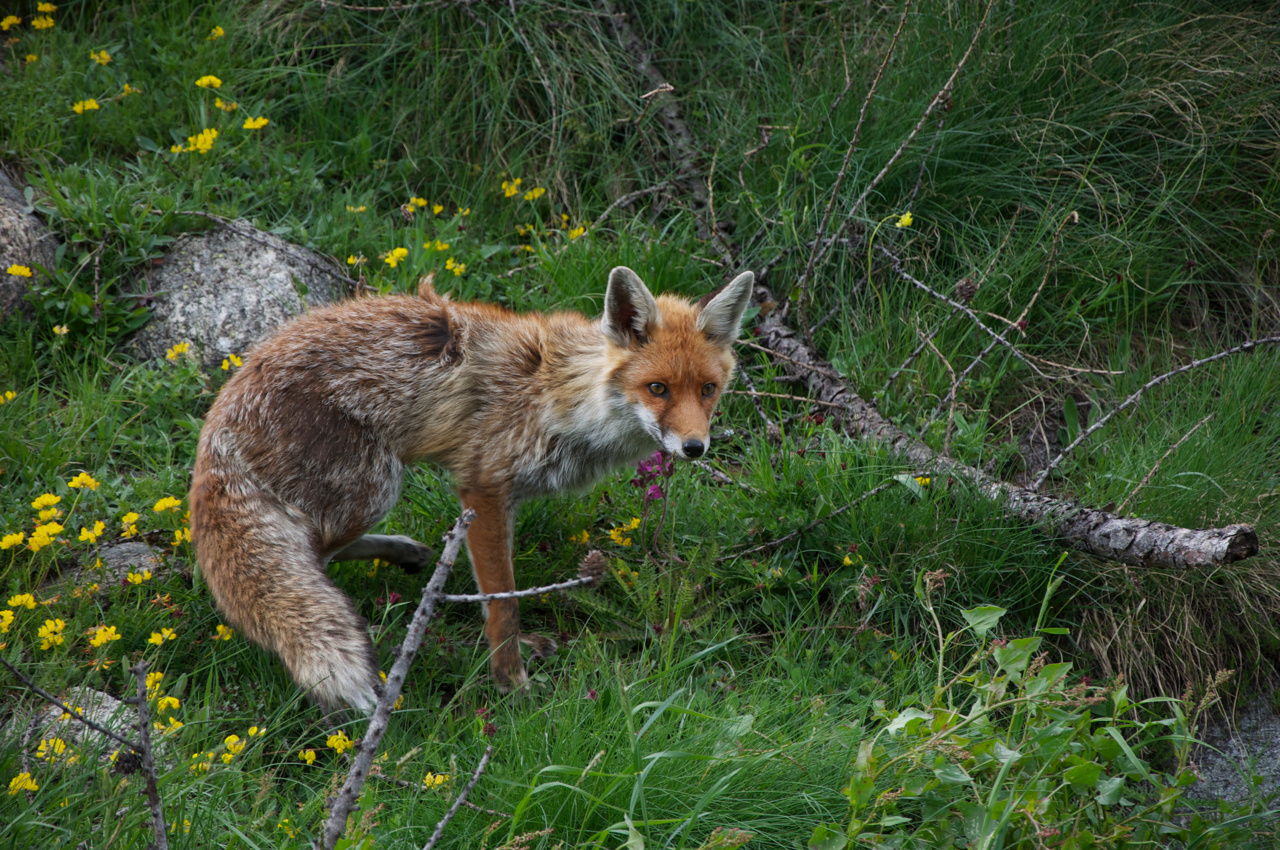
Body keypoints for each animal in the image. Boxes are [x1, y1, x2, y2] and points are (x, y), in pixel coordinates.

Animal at [188, 266, 755, 712]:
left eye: (708, 390)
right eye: (657, 389)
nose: (695, 448)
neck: (560, 398)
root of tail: (221, 413)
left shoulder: (507, 500)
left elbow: (499, 595)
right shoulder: (482, 489)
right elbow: (503, 603)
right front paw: (512, 685)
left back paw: (407, 554)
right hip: (374, 488)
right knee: (313, 558)